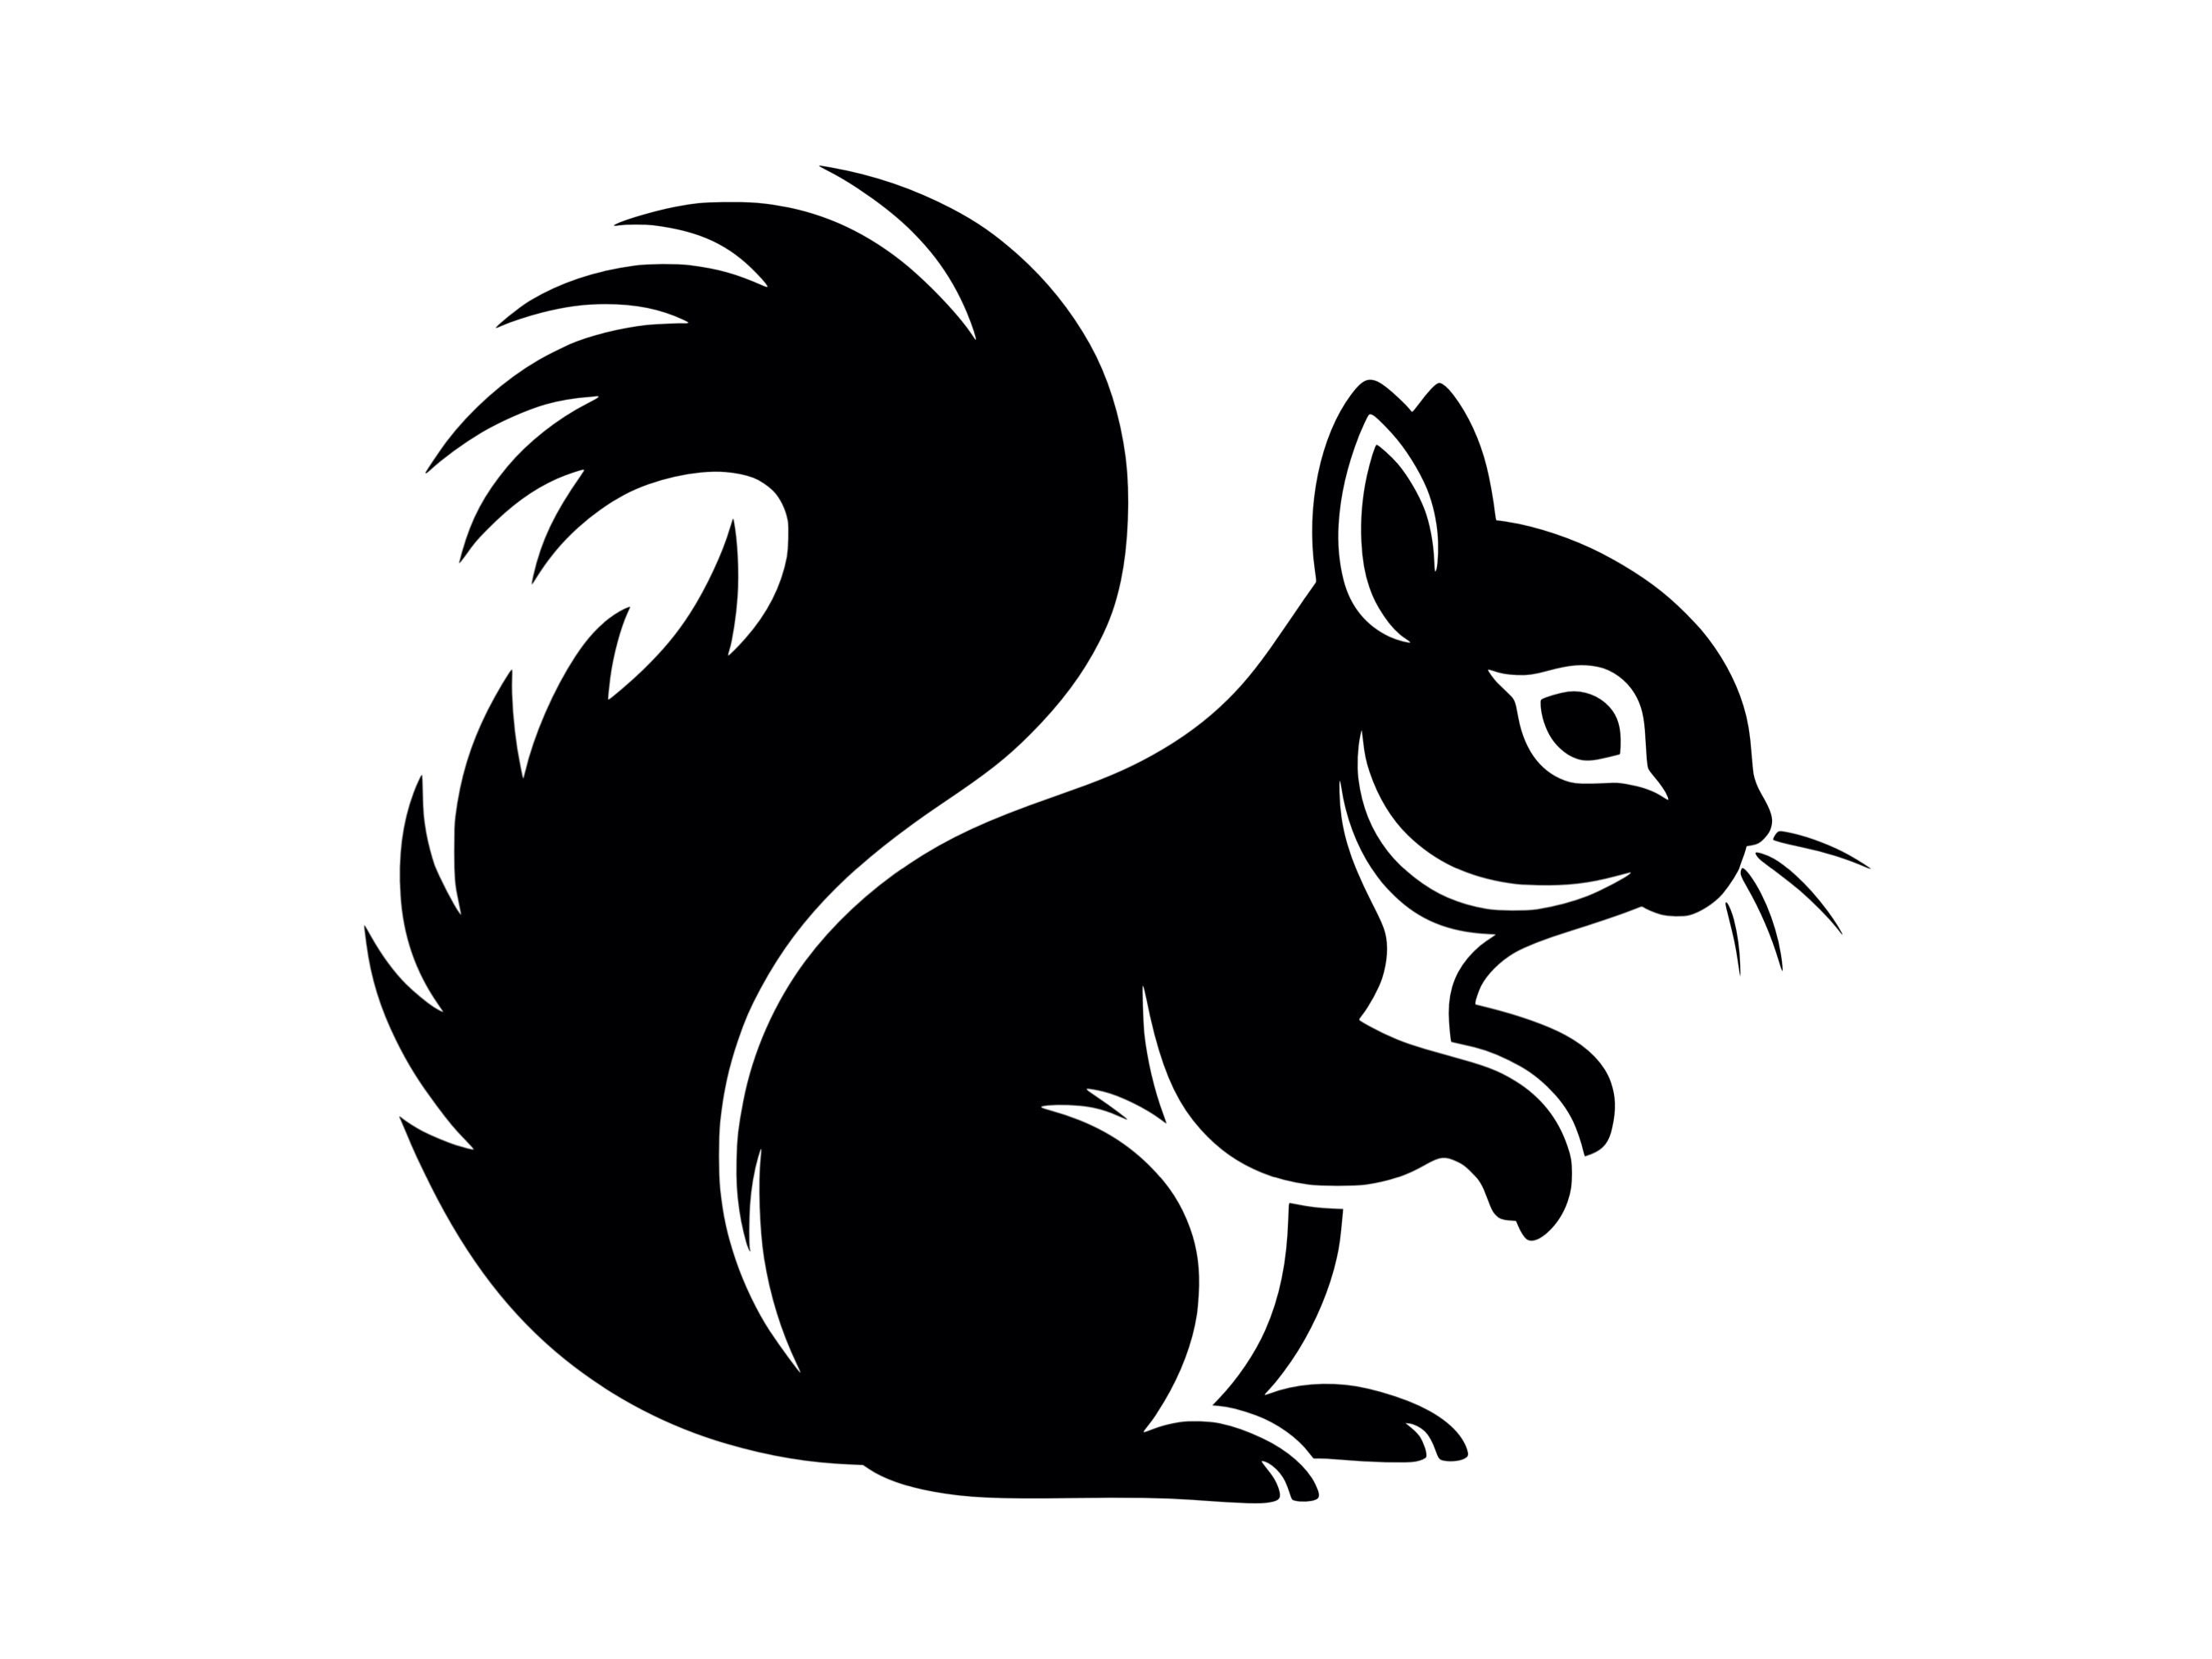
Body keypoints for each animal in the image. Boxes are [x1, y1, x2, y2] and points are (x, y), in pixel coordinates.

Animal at [372, 170, 1853, 1503]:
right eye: (1582, 722)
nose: (1748, 830)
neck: (1399, 893)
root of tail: (827, 1402)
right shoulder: (1237, 946)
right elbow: (1299, 1091)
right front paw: (1525, 1145)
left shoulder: (1435, 1000)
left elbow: (1474, 1046)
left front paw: (1574, 1088)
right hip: (1088, 1223)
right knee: (1001, 1460)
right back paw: (1194, 1458)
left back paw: (1328, 1416)